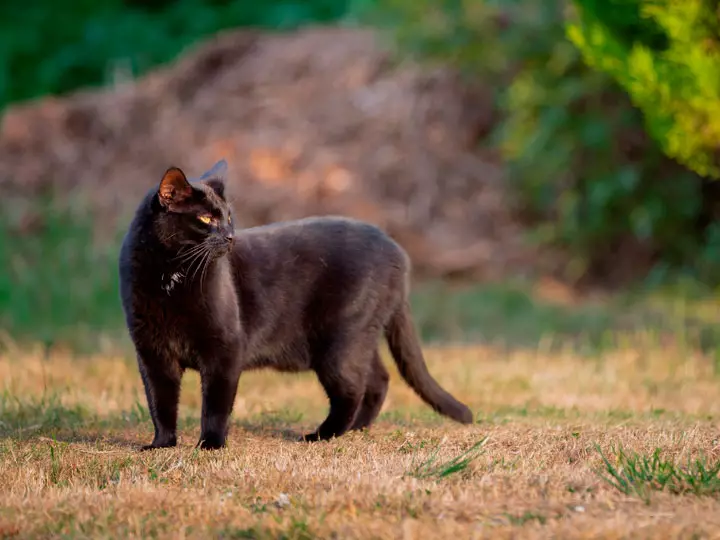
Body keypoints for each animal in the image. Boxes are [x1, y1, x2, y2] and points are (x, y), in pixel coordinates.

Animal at [118, 160, 472, 452]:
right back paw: (356, 430)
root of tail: (397, 251)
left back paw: (322, 435)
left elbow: (216, 405)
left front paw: (210, 446)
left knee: (352, 389)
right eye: (206, 218)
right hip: (358, 337)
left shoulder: (225, 349)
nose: (230, 236)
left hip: (341, 340)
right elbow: (159, 401)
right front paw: (161, 444)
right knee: (378, 379)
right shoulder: (152, 353)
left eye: (228, 217)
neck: (171, 276)